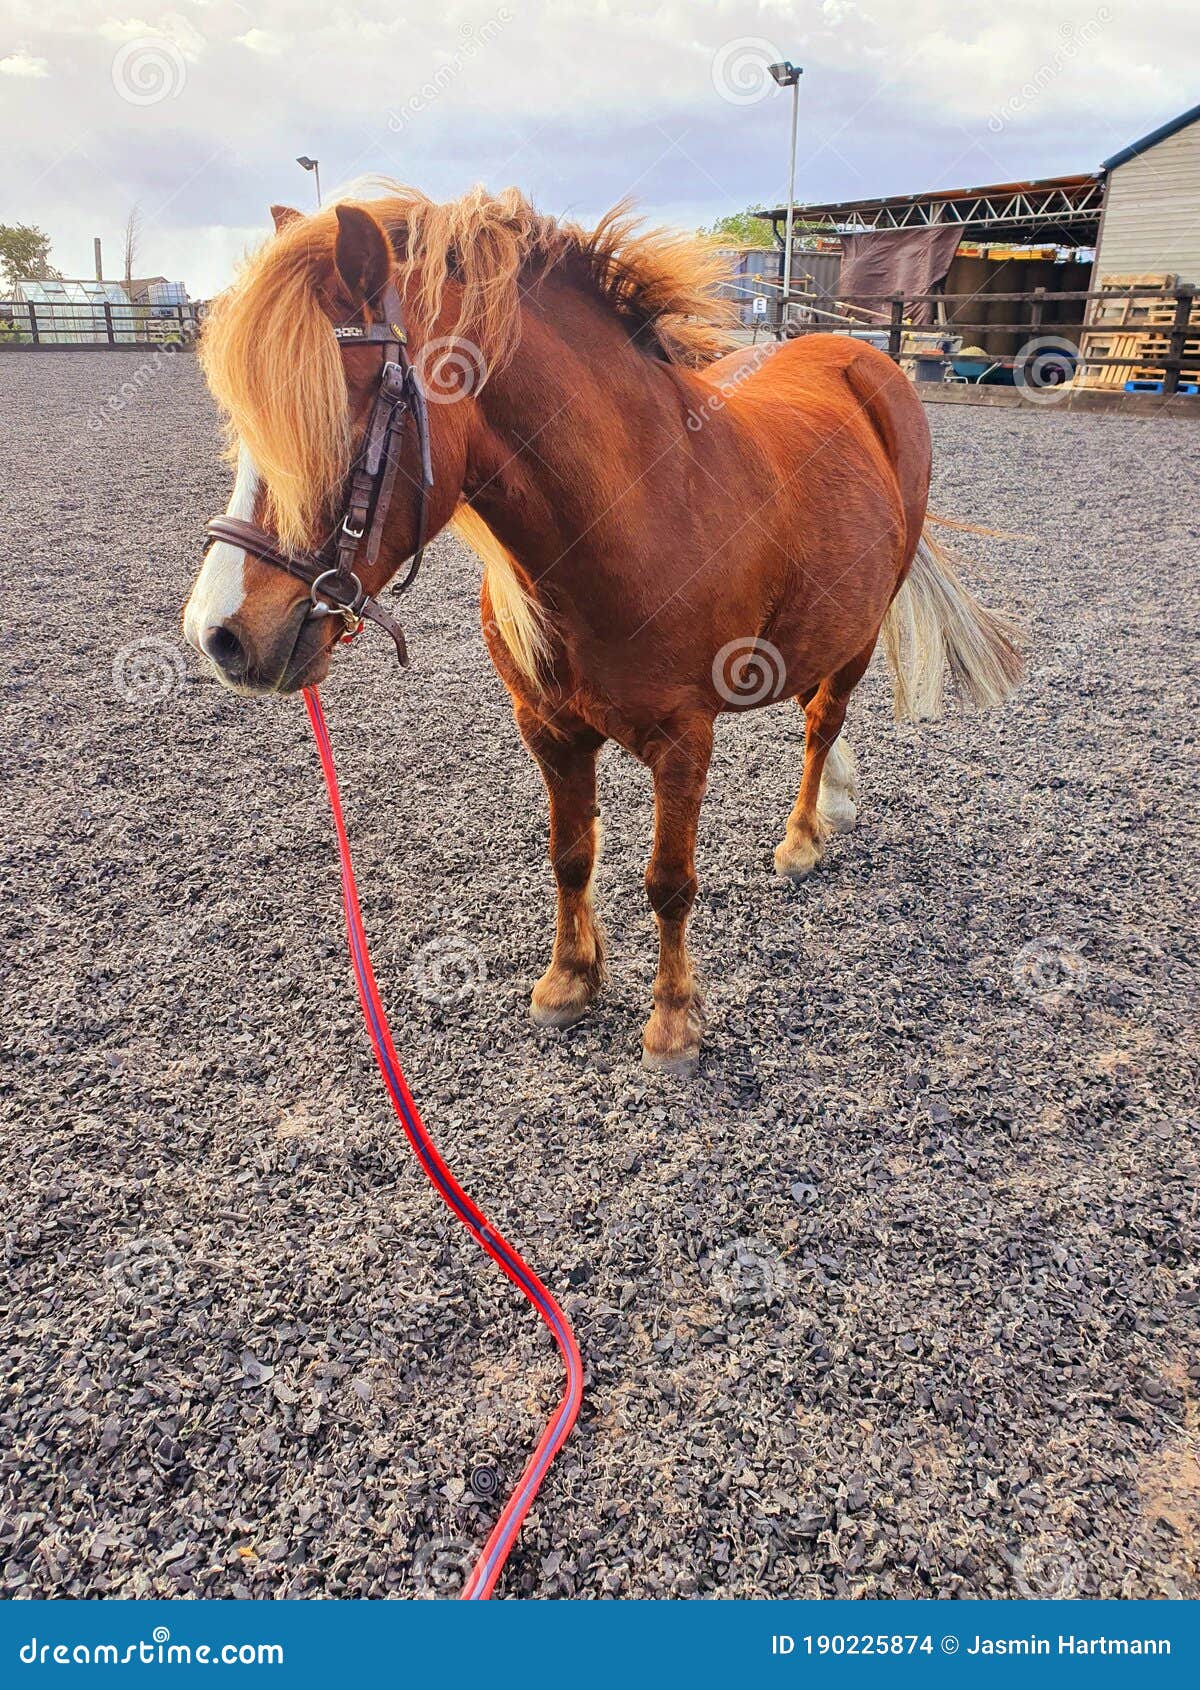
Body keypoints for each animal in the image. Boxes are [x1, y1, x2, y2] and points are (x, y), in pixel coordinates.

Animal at [183, 186, 1023, 1076]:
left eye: (335, 411)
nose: (219, 634)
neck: (628, 514)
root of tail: (864, 360)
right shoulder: (549, 730)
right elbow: (570, 856)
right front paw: (569, 981)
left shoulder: (685, 740)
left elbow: (669, 881)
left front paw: (673, 1022)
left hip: (860, 632)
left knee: (821, 723)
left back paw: (803, 837)